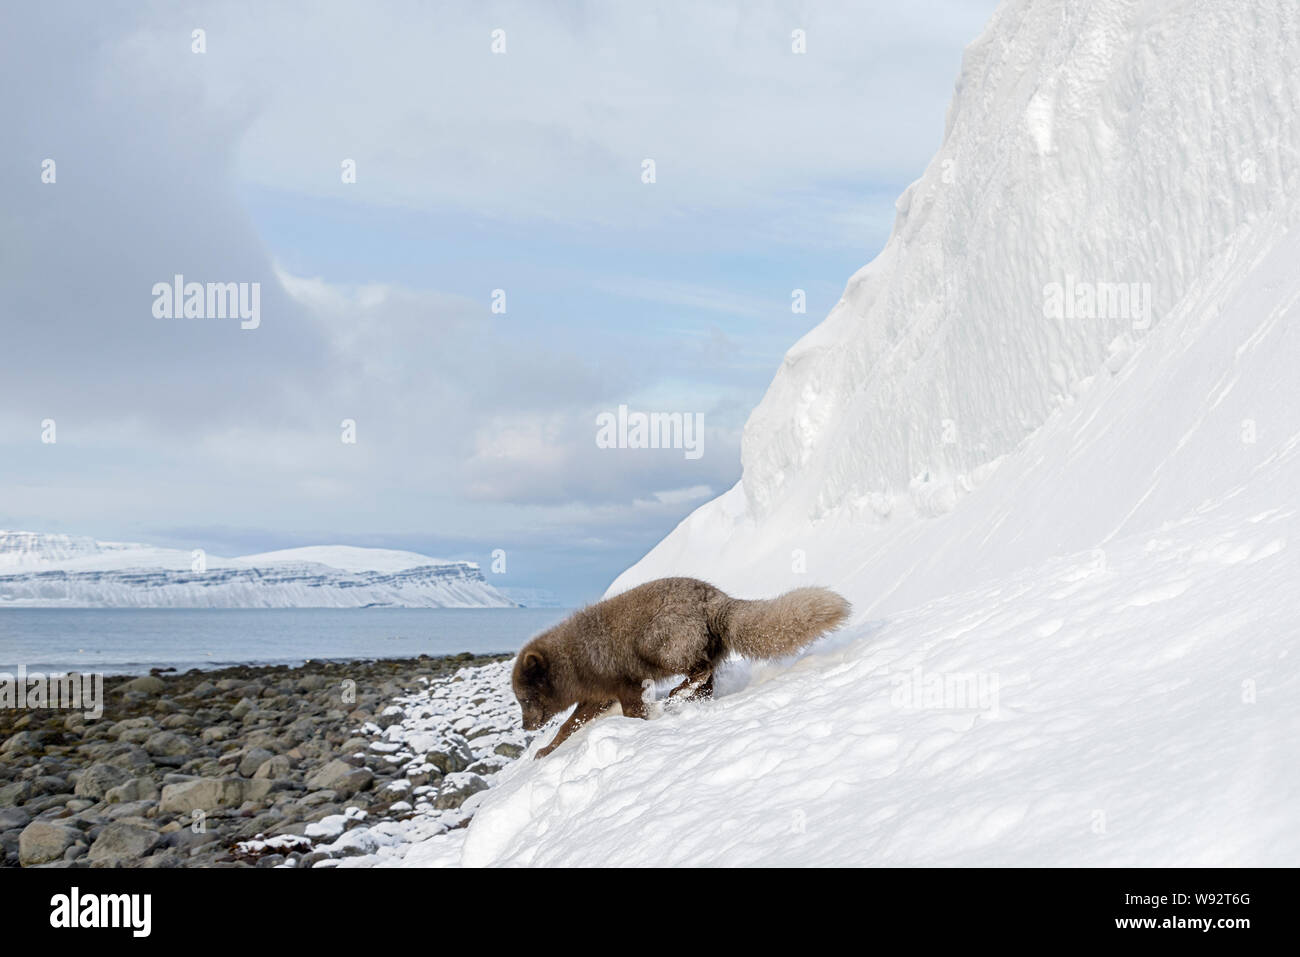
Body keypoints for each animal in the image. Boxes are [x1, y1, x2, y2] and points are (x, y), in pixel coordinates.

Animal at [512, 576, 850, 758]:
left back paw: (677, 693)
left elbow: (627, 712)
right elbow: (568, 727)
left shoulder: (623, 685)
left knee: (700, 671)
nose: (525, 726)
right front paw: (546, 751)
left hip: (658, 645)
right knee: (707, 679)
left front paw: (641, 725)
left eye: (526, 699)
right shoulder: (598, 698)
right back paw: (689, 698)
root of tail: (716, 598)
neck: (572, 660)